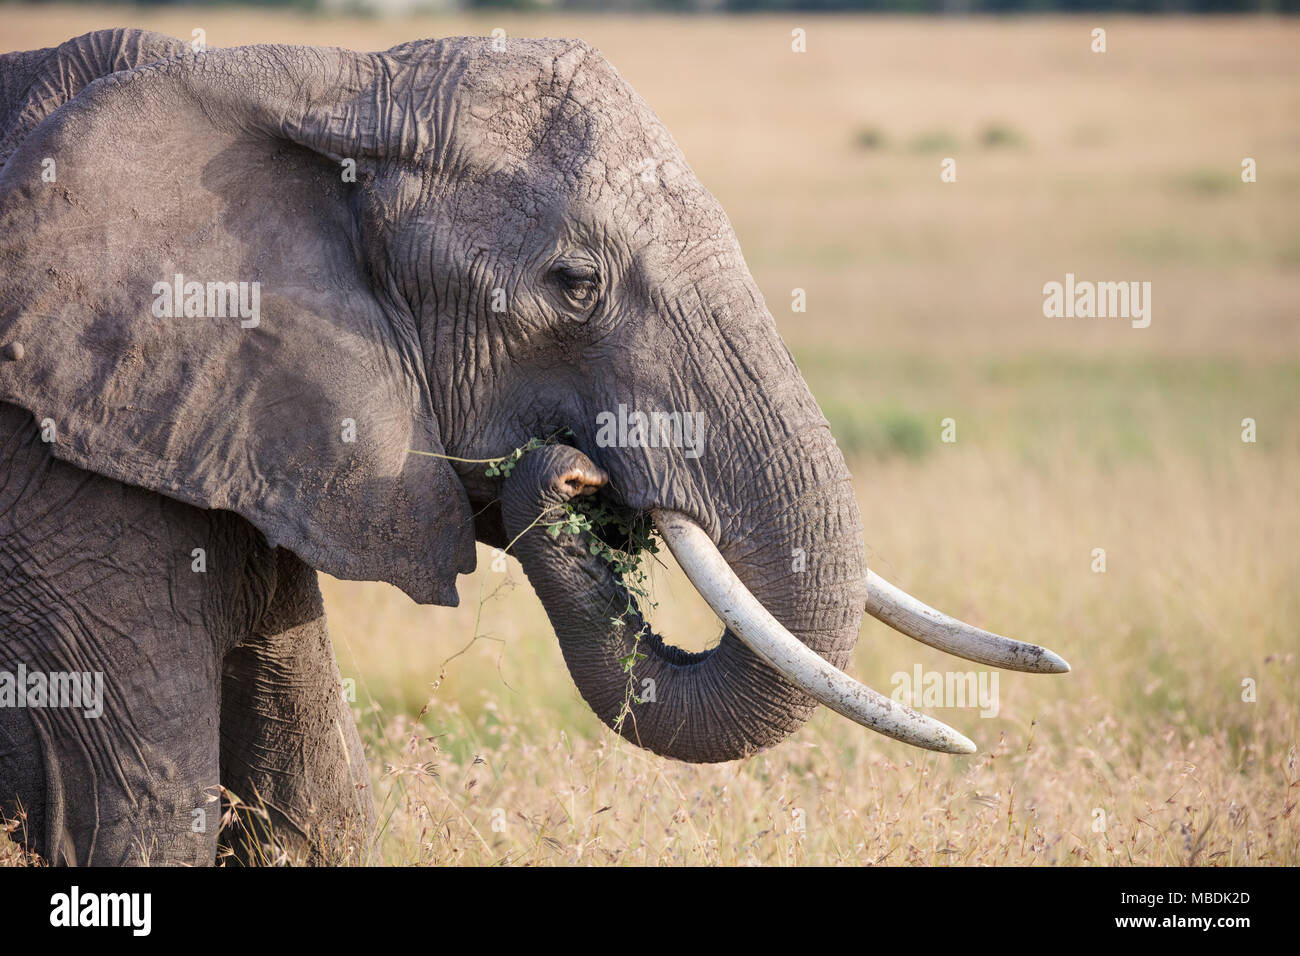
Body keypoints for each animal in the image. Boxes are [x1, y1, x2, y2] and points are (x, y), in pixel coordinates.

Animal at [0, 28, 1069, 866]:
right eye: (574, 282)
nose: (578, 471)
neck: (328, 78)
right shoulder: (60, 487)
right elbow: (147, 820)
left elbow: (314, 807)